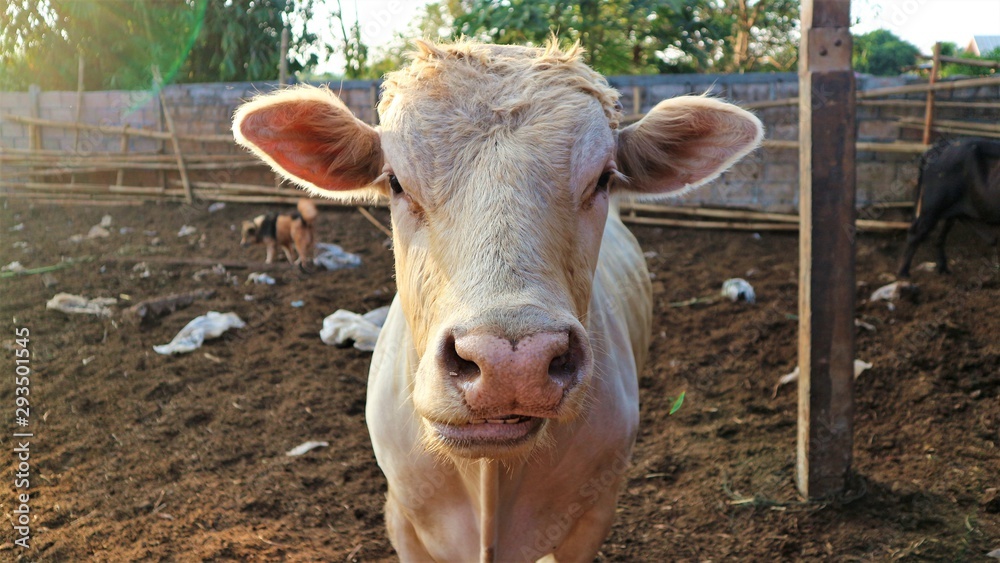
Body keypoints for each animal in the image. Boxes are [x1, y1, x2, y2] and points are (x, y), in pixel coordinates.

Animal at [898, 137, 1000, 278]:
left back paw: (943, 268)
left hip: (949, 210)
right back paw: (903, 273)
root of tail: (942, 145)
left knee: (940, 237)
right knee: (916, 233)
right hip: (932, 208)